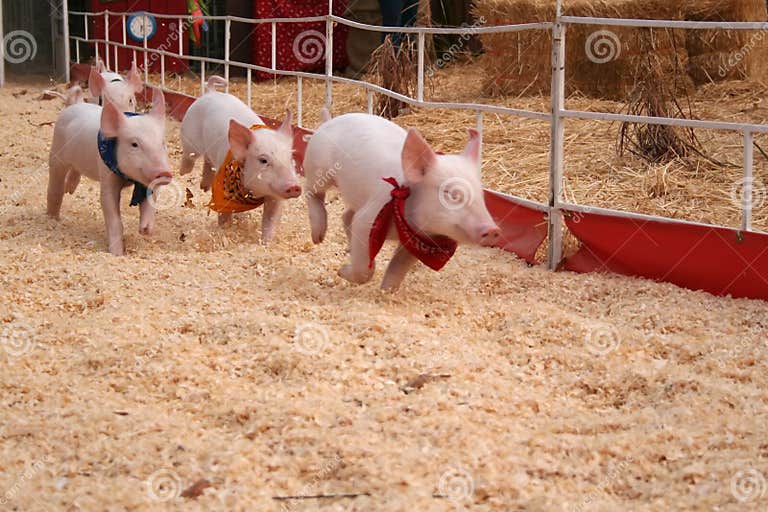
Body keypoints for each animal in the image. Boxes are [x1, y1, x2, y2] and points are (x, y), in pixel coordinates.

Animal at [46, 89, 172, 256]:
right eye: (134, 144)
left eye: (163, 143)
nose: (165, 172)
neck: (129, 178)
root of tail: (76, 104)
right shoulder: (106, 174)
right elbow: (109, 206)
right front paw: (117, 254)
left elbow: (150, 202)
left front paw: (145, 230)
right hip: (57, 150)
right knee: (56, 184)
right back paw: (53, 218)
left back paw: (69, 190)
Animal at [179, 75, 301, 243]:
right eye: (263, 160)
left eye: (290, 158)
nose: (295, 186)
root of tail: (211, 92)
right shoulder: (222, 194)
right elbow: (224, 216)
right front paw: (225, 231)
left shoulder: (275, 197)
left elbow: (270, 219)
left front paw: (266, 243)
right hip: (189, 137)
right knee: (189, 156)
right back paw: (181, 173)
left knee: (208, 162)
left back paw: (204, 187)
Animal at [303, 112, 501, 290]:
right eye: (451, 194)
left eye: (481, 195)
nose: (493, 230)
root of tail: (329, 121)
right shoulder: (370, 217)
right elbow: (364, 269)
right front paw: (341, 271)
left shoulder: (419, 241)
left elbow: (398, 267)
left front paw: (386, 292)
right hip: (318, 169)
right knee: (311, 192)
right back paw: (318, 238)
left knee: (346, 216)